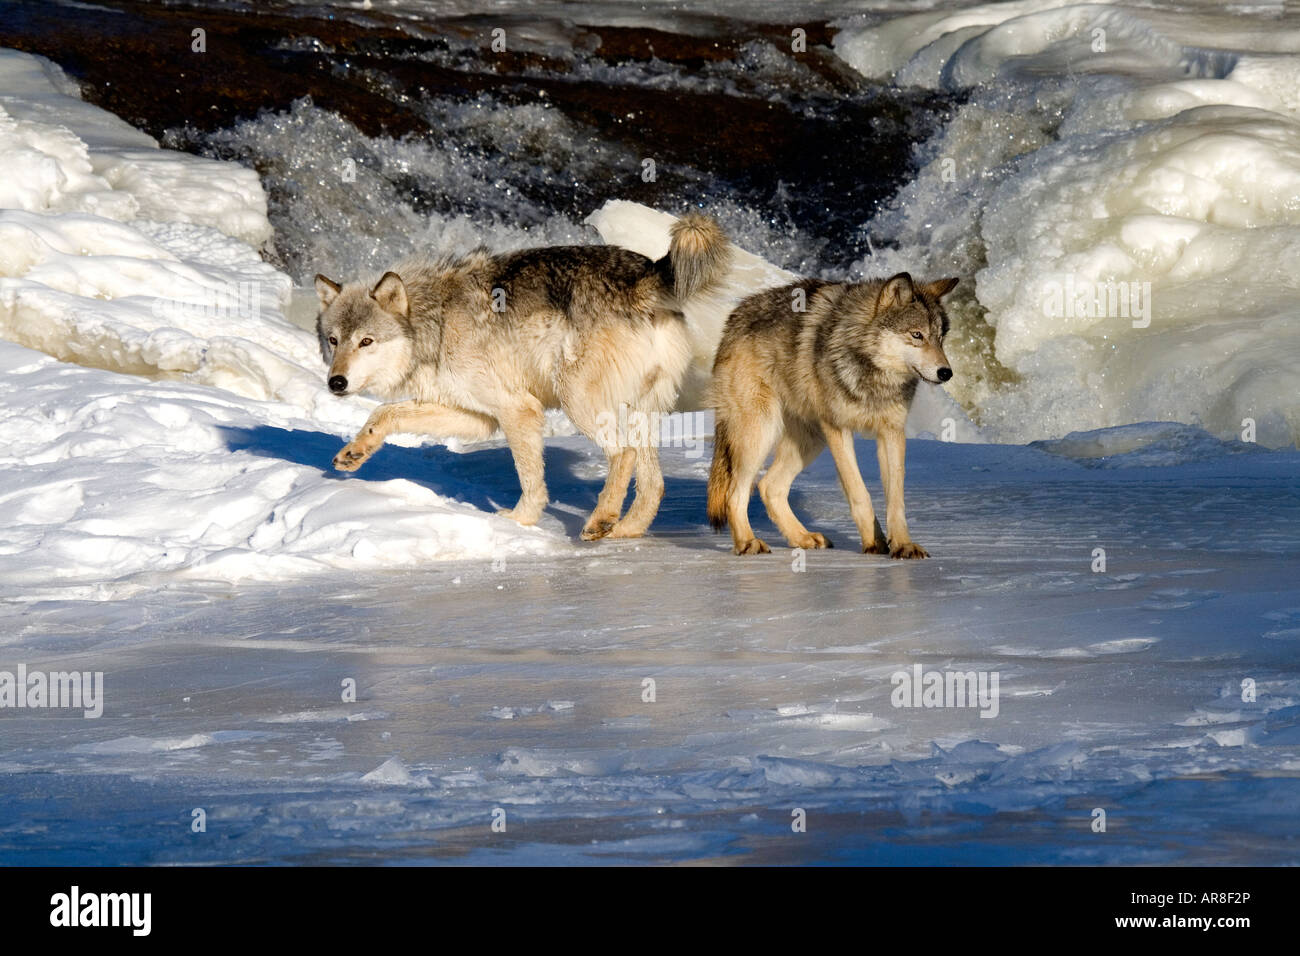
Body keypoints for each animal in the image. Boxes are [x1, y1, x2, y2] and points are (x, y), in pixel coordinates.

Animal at [314, 214, 731, 539]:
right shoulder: (477, 417)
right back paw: (625, 530)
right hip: (635, 411)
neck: (436, 321)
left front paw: (519, 521)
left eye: (366, 341)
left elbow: (531, 479)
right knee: (654, 484)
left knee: (623, 454)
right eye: (333, 340)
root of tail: (646, 273)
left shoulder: (519, 409)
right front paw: (354, 453)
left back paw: (599, 521)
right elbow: (384, 414)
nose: (336, 383)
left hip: (577, 401)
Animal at [706, 272, 958, 557]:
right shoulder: (837, 428)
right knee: (734, 493)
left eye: (940, 338)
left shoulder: (891, 432)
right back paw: (748, 542)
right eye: (917, 335)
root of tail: (733, 317)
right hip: (761, 434)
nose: (946, 372)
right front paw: (874, 542)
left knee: (769, 487)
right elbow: (859, 492)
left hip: (809, 442)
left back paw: (802, 537)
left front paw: (903, 544)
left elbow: (896, 500)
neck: (871, 374)